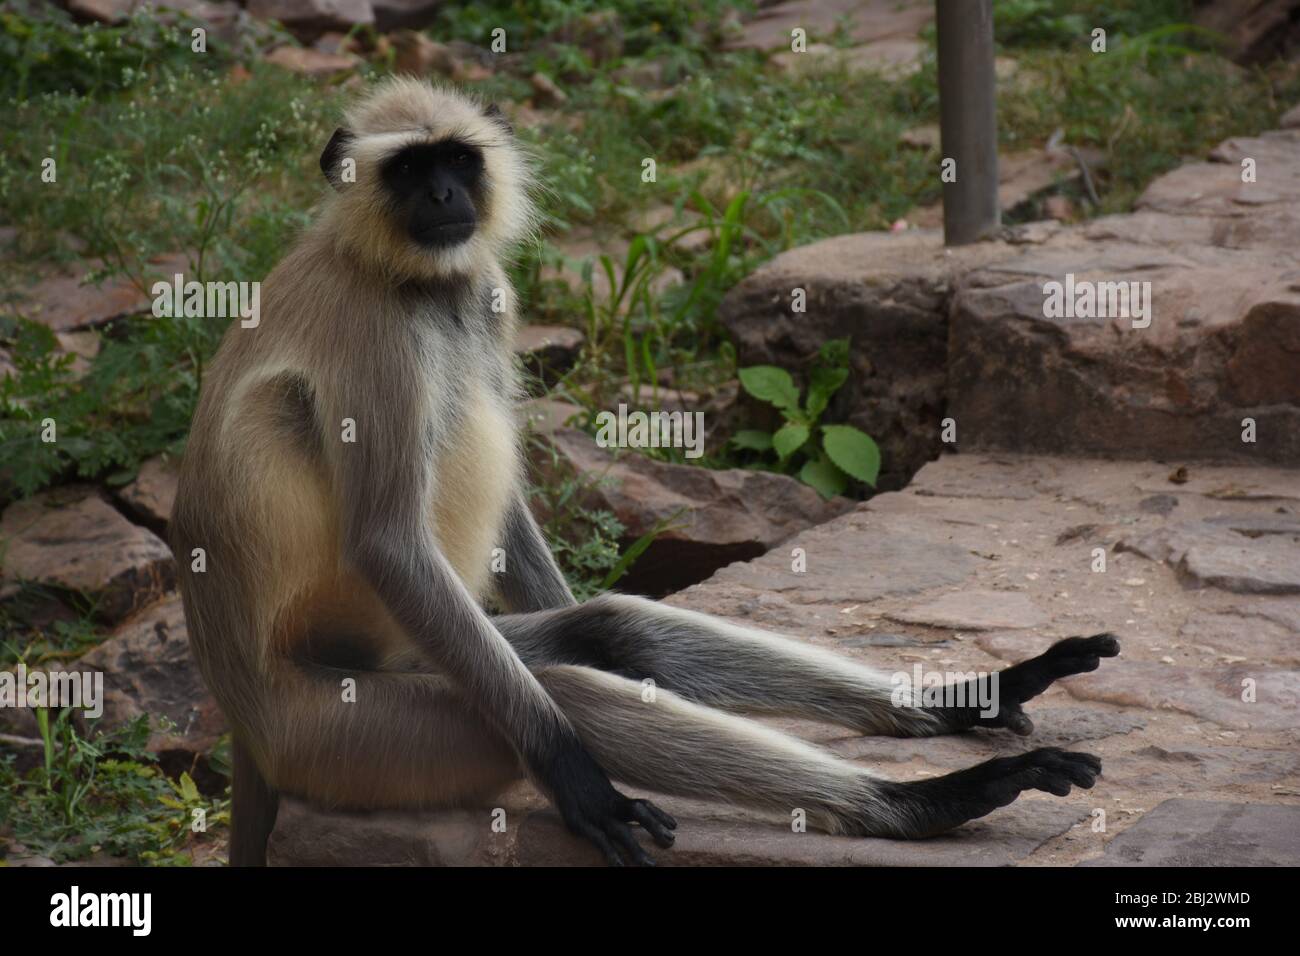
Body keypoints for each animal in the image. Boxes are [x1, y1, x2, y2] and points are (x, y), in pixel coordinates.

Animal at [170, 77, 1120, 867]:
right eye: (409, 171)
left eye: (457, 161)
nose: (443, 197)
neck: (408, 280)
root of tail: (248, 728)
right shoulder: (377, 339)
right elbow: (387, 543)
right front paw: (579, 781)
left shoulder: (486, 292)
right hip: (341, 731)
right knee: (568, 693)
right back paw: (922, 804)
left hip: (413, 663)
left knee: (618, 629)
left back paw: (965, 703)